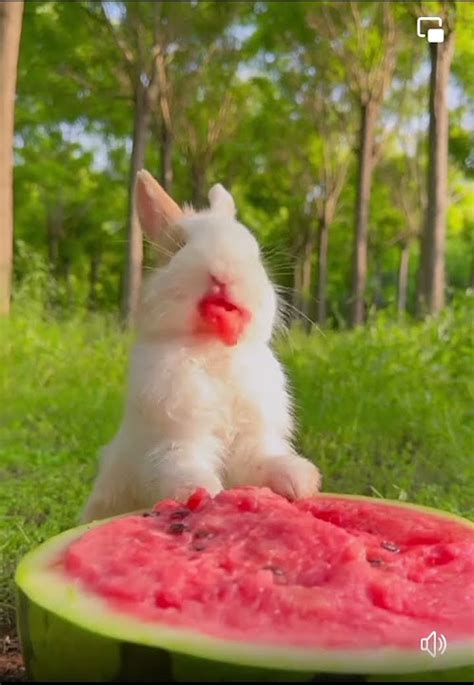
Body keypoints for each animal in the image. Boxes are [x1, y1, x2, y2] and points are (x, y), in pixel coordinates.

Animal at [80, 170, 321, 523]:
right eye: (180, 245)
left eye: (254, 252)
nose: (222, 273)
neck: (214, 349)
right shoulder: (175, 439)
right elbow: (183, 467)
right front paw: (199, 493)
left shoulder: (251, 439)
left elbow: (262, 460)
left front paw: (301, 480)